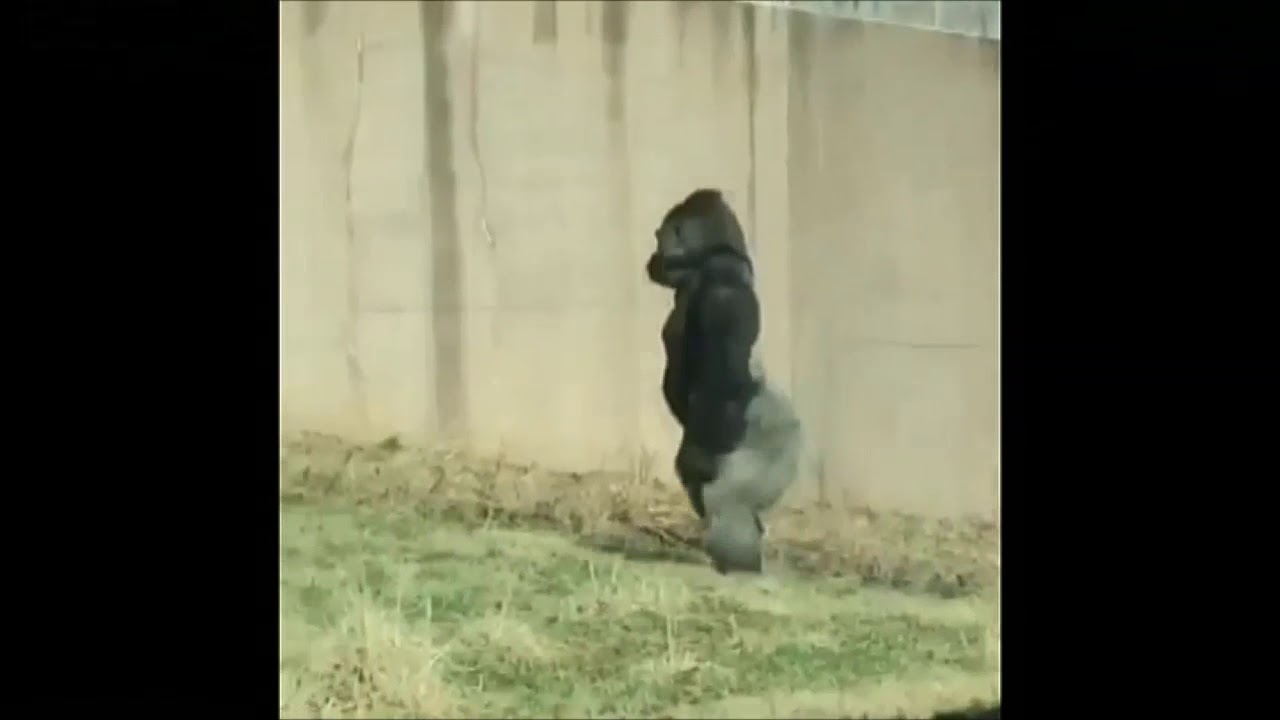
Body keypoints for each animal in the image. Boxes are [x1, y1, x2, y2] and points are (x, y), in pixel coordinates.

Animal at [645, 188, 803, 574]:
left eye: (661, 237)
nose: (652, 256)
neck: (706, 261)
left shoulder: (724, 290)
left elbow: (723, 387)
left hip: (771, 440)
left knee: (731, 504)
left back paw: (740, 562)